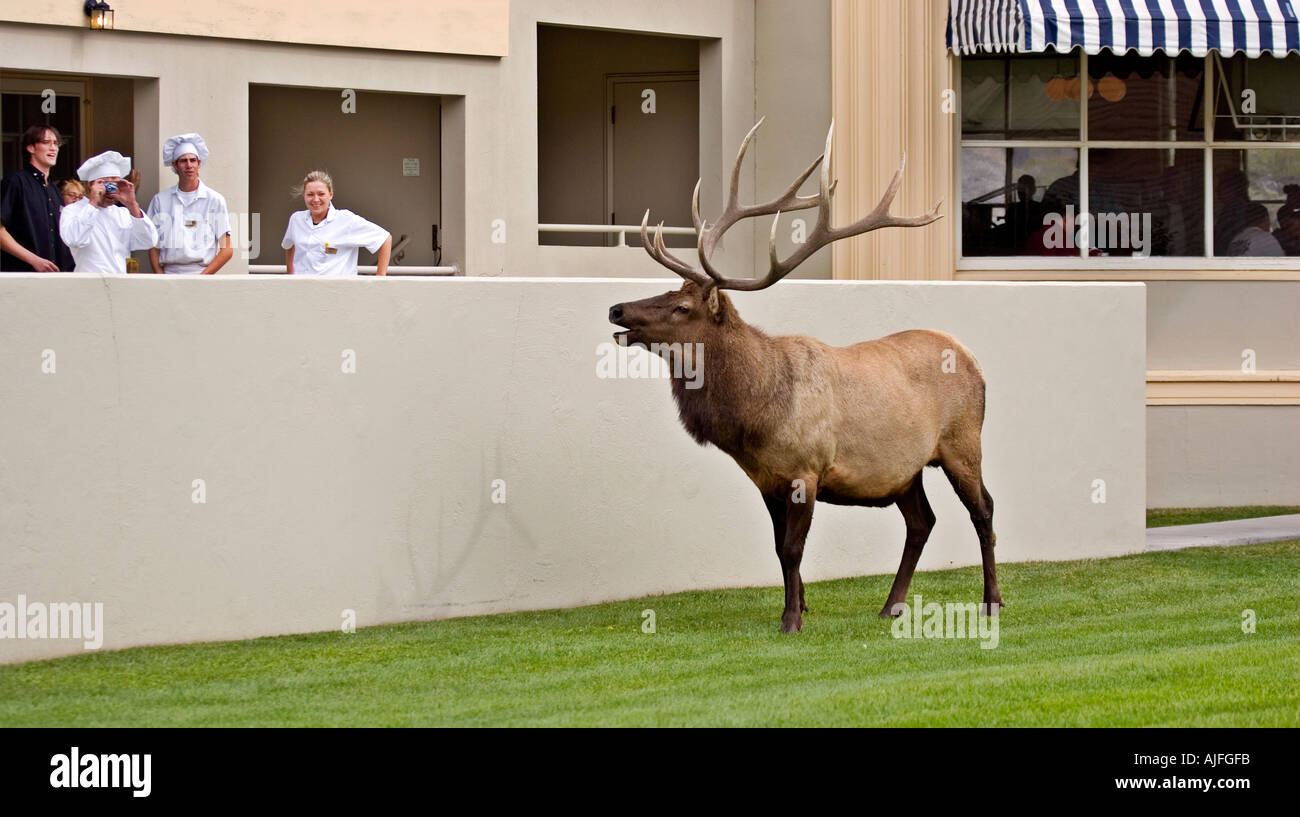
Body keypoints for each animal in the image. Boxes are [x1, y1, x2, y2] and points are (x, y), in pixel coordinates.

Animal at [608, 119, 1002, 633]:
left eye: (682, 307)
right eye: (670, 292)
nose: (616, 309)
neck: (755, 413)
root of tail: (973, 359)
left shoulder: (806, 470)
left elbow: (794, 549)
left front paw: (792, 620)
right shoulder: (766, 480)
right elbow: (779, 551)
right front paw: (797, 606)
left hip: (963, 442)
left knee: (984, 510)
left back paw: (992, 601)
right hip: (906, 469)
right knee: (923, 522)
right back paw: (891, 604)